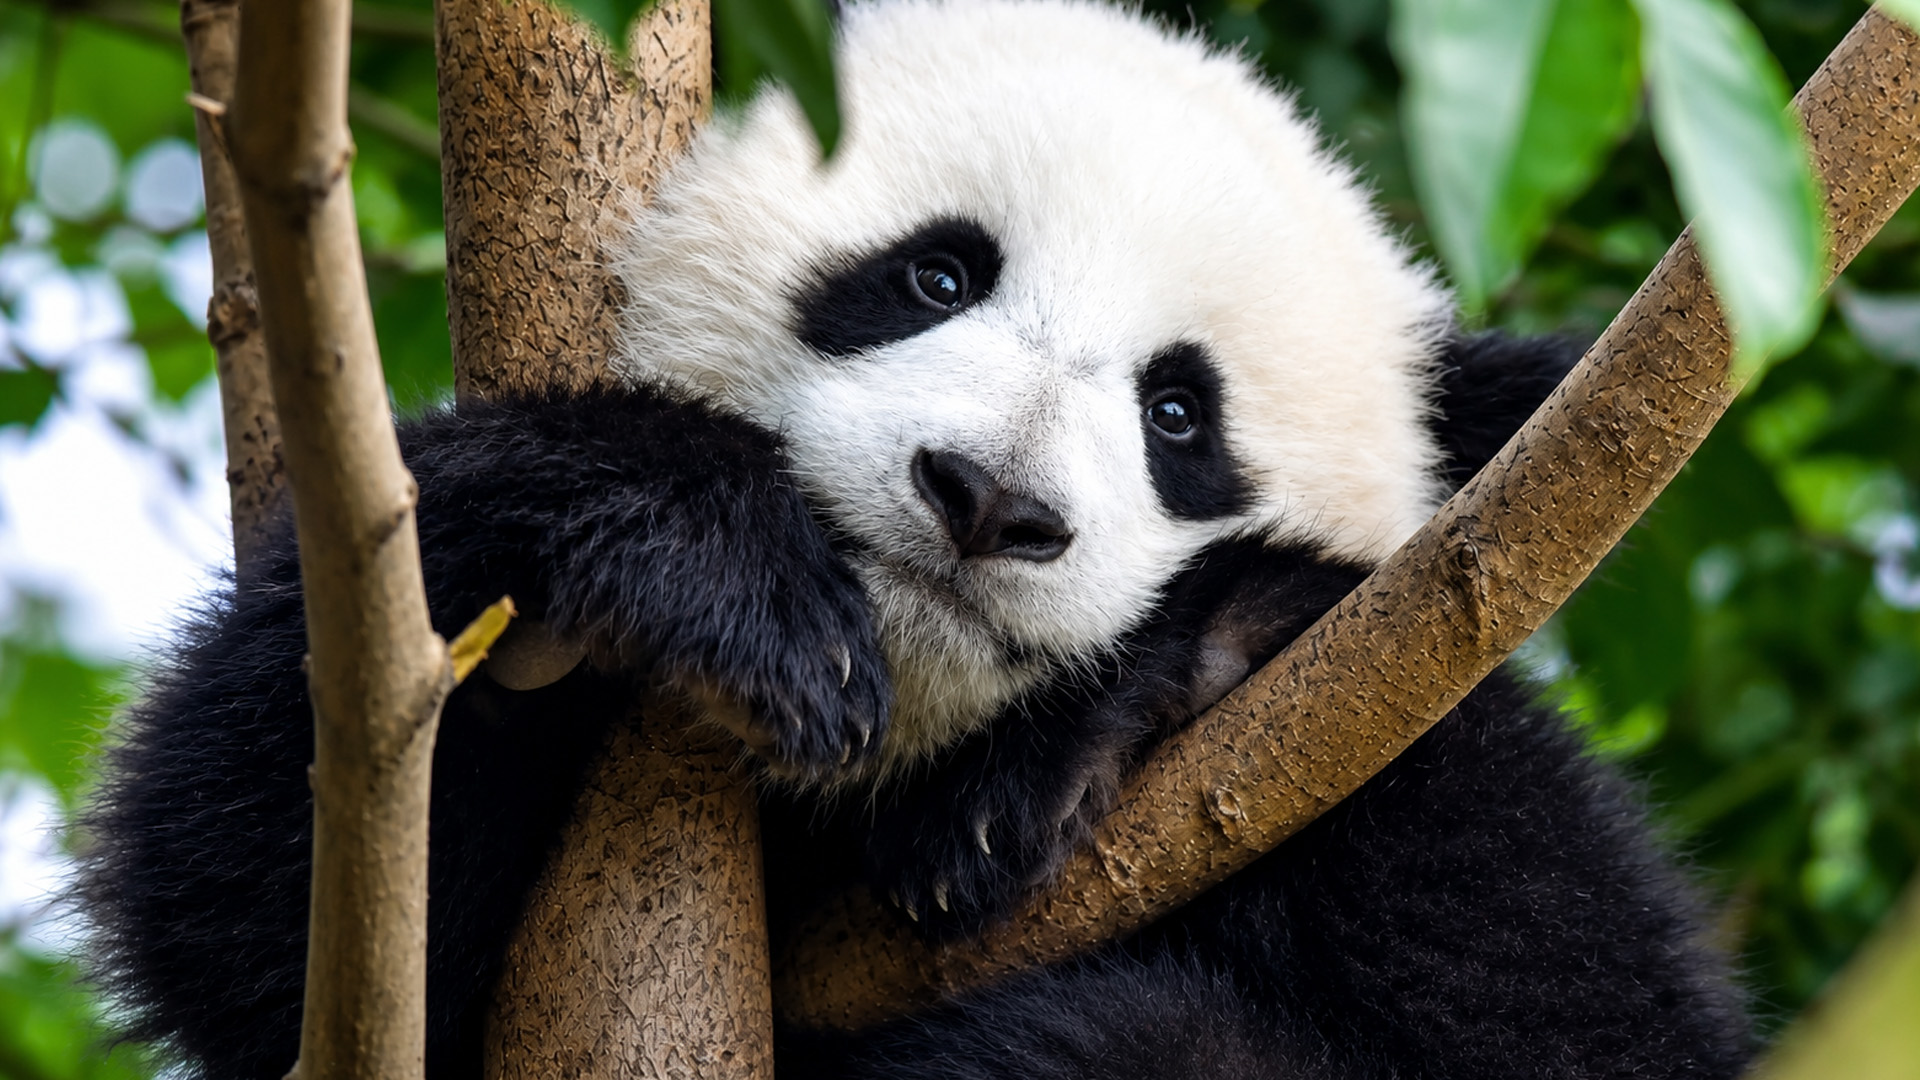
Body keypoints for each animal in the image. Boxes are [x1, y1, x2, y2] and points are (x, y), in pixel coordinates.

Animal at [80, 1, 1755, 1078]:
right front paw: (718, 566)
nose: (990, 500)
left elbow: (1577, 1016)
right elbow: (249, 905)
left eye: (1179, 417)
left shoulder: (1432, 771)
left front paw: (1107, 721)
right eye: (936, 275)